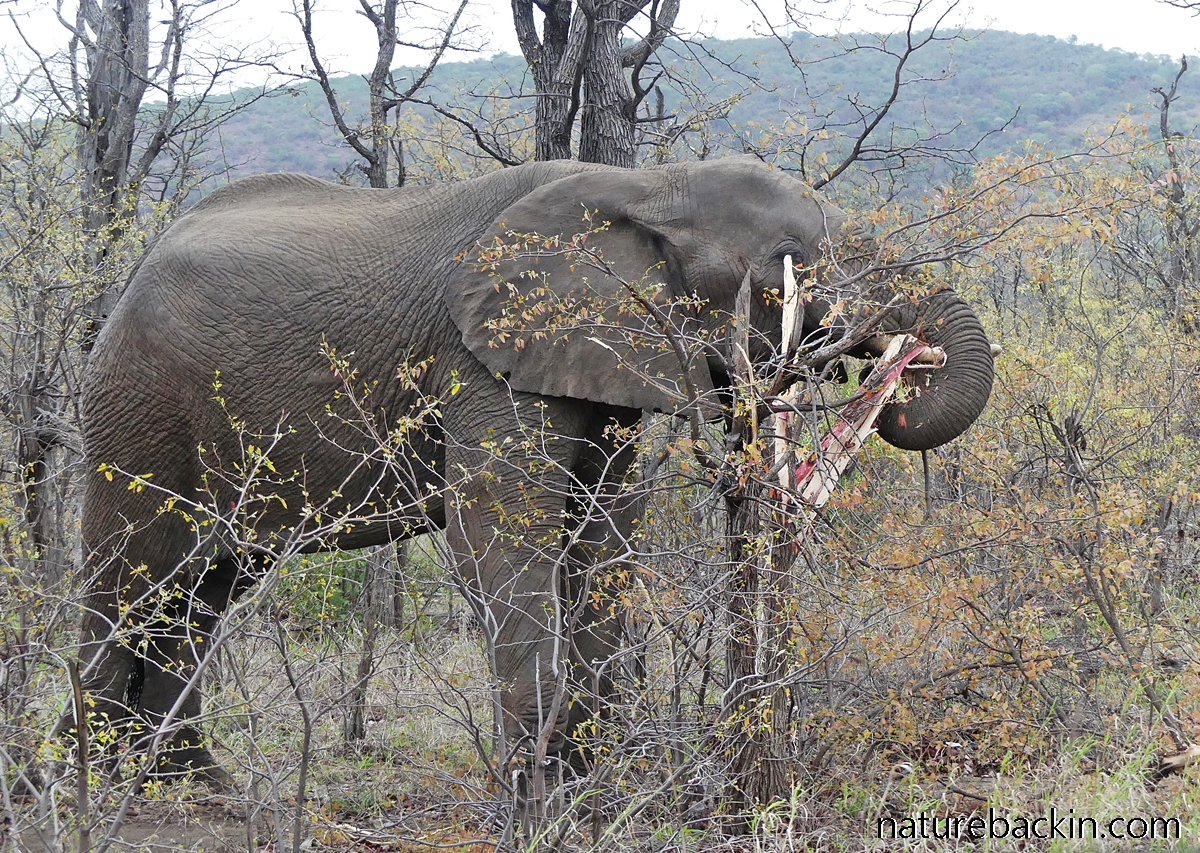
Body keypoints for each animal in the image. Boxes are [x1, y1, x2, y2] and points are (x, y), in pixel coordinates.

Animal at [77, 155, 995, 789]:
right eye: (789, 257)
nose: (903, 360)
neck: (647, 185)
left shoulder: (610, 356)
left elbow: (606, 532)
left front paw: (594, 787)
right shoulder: (484, 360)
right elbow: (502, 533)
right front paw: (539, 800)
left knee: (204, 591)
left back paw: (189, 784)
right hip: (137, 408)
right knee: (129, 574)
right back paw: (87, 777)